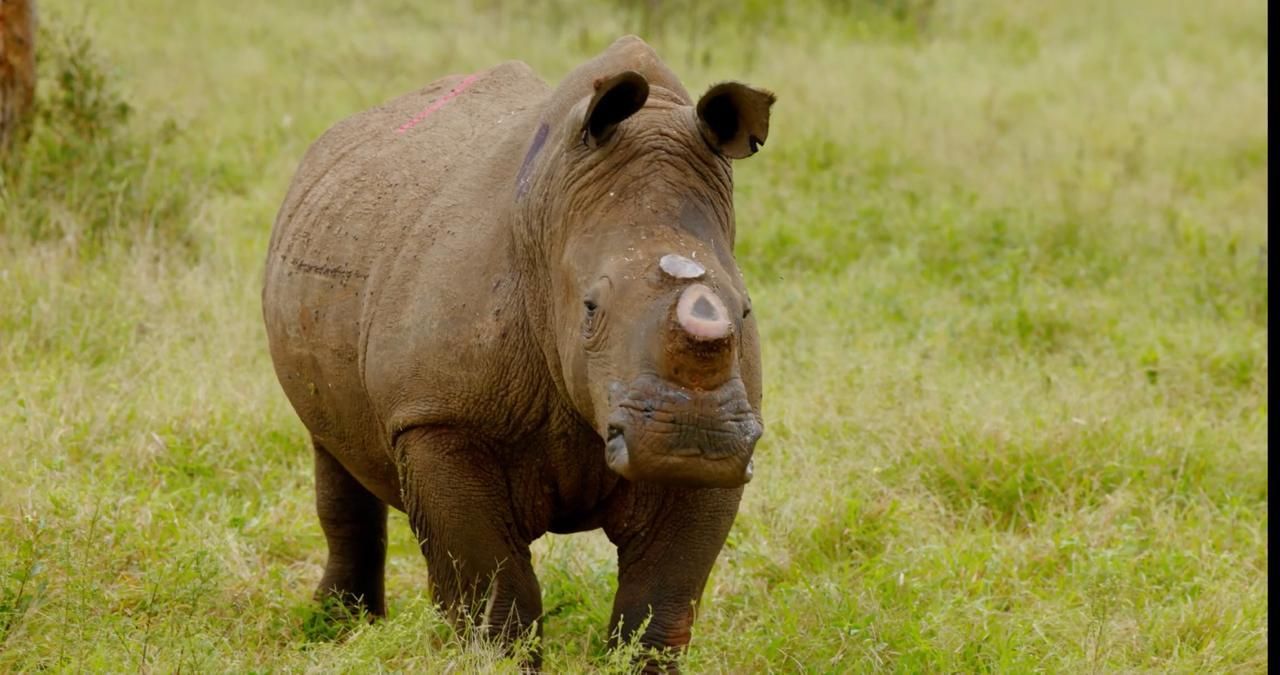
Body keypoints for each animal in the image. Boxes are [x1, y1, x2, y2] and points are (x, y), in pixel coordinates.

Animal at [262, 35, 774, 667]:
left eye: (745, 311)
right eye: (590, 308)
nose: (691, 439)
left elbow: (662, 596)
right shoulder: (438, 417)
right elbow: (492, 586)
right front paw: (491, 663)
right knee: (331, 448)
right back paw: (336, 628)